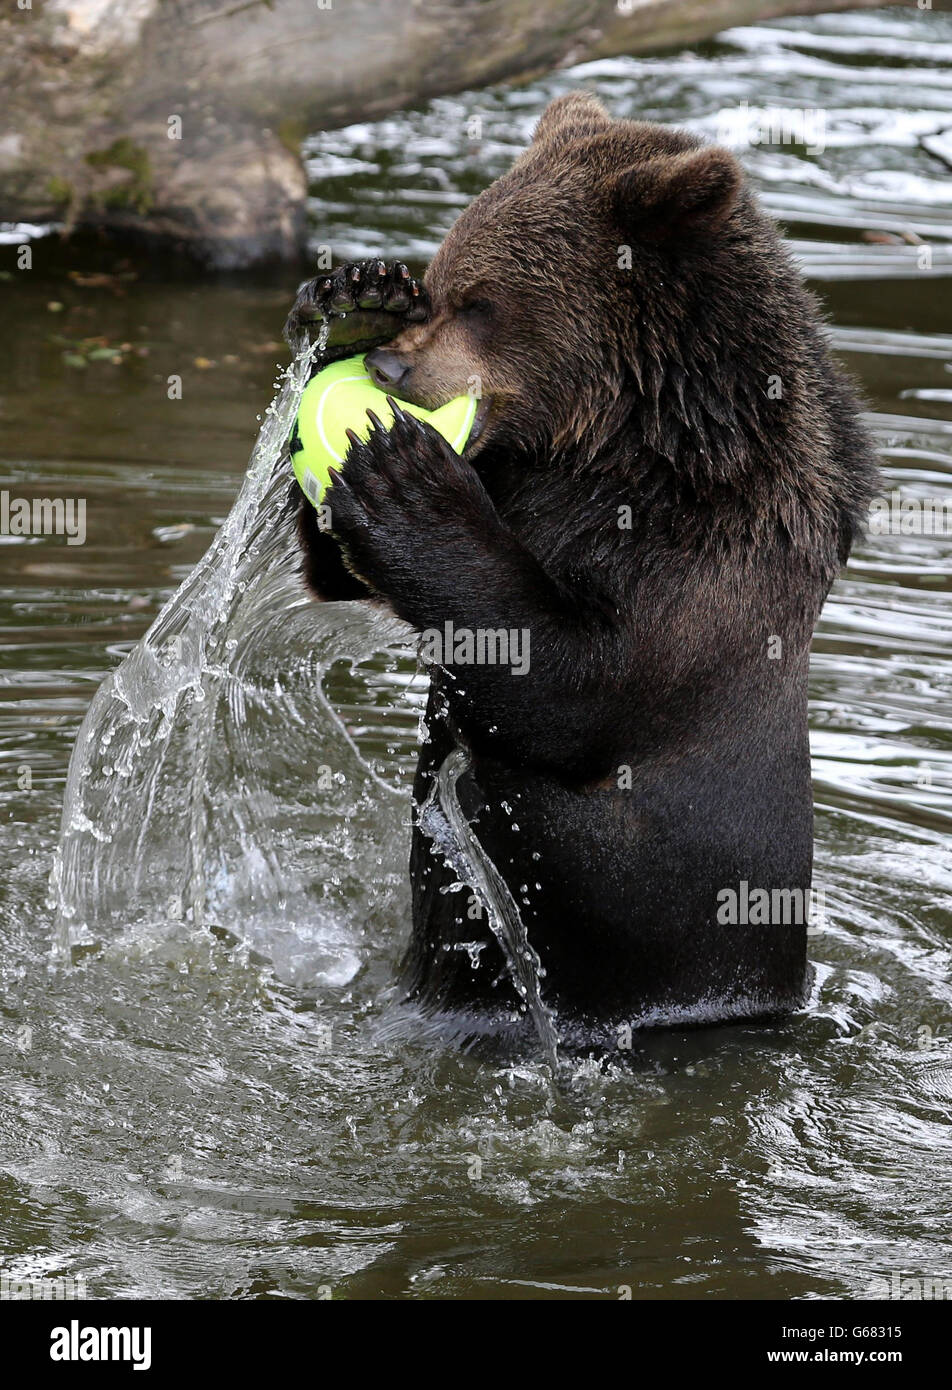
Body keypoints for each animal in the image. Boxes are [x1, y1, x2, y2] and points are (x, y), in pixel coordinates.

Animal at [286, 92, 880, 1052]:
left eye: (485, 302)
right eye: (437, 284)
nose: (390, 368)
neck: (614, 444)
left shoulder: (710, 555)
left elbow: (581, 685)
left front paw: (402, 473)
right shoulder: (526, 484)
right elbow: (346, 572)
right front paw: (354, 297)